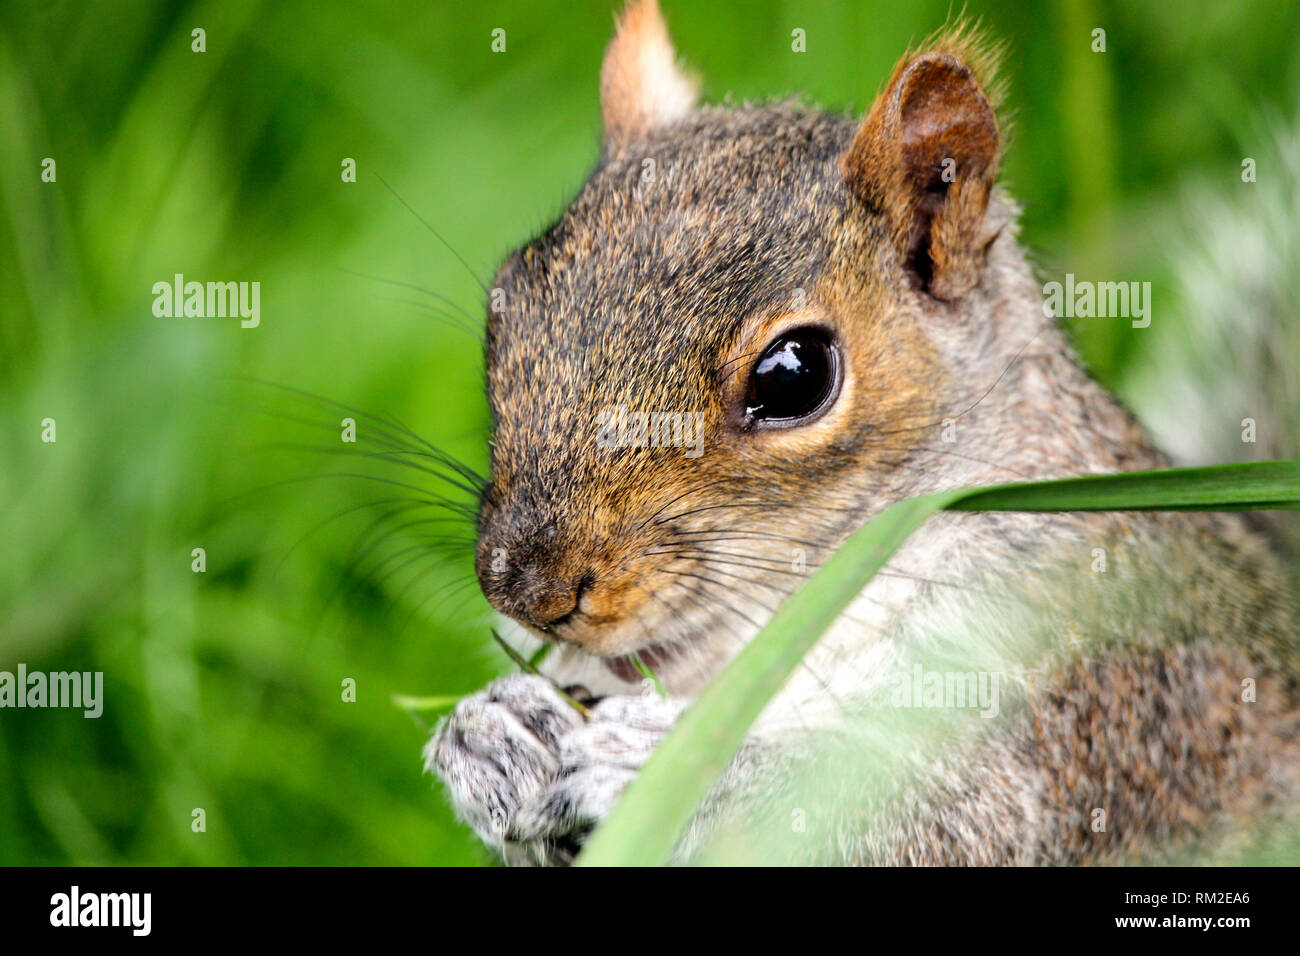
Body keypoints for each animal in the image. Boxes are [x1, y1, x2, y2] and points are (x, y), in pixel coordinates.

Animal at [426, 0, 1300, 865]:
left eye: (794, 375)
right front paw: (490, 734)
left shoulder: (1097, 668)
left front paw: (665, 766)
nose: (526, 592)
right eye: (507, 305)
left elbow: (934, 821)